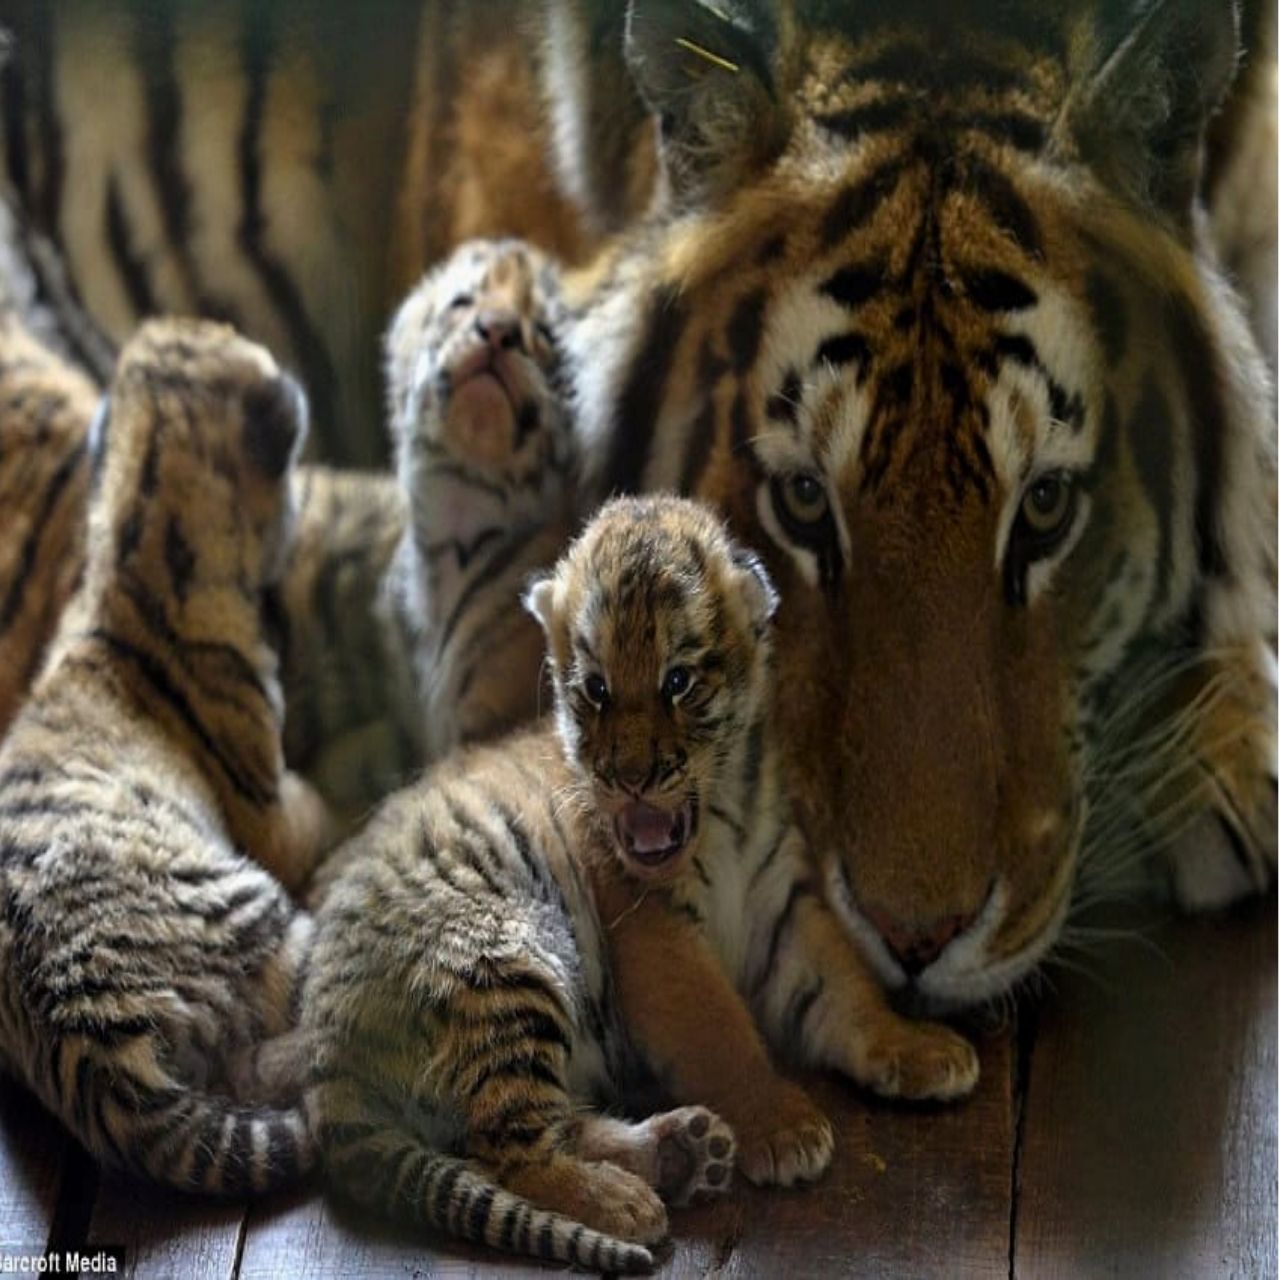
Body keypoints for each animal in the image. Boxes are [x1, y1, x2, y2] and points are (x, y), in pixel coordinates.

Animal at [302, 492, 977, 1273]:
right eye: (595, 690)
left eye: (677, 681)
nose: (630, 778)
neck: (725, 818)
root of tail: (323, 1054)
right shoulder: (657, 936)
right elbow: (719, 1031)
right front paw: (781, 1125)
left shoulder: (783, 902)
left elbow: (845, 986)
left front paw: (919, 1049)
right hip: (501, 960)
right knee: (507, 1147)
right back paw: (627, 1203)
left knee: (550, 1124)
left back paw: (682, 1151)